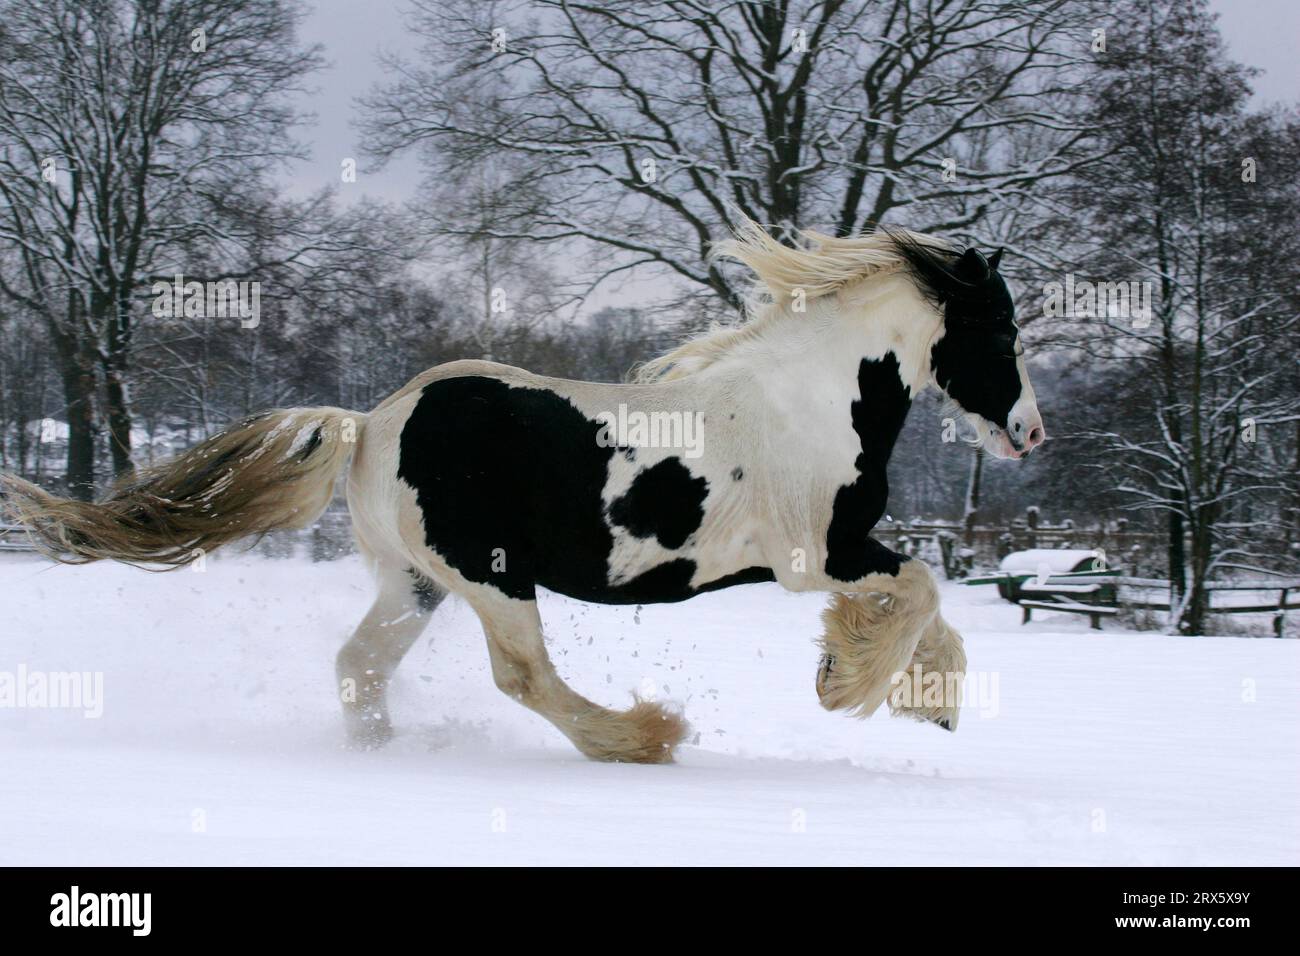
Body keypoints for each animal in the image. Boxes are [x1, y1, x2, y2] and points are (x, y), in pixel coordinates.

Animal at [1, 216, 1044, 764]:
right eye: (1002, 333)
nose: (1031, 432)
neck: (812, 399)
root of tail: (370, 421)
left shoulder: (835, 556)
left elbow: (925, 601)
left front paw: (928, 699)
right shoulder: (813, 555)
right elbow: (920, 589)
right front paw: (849, 683)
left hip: (416, 580)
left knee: (360, 665)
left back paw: (384, 756)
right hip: (492, 577)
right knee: (522, 677)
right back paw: (643, 735)